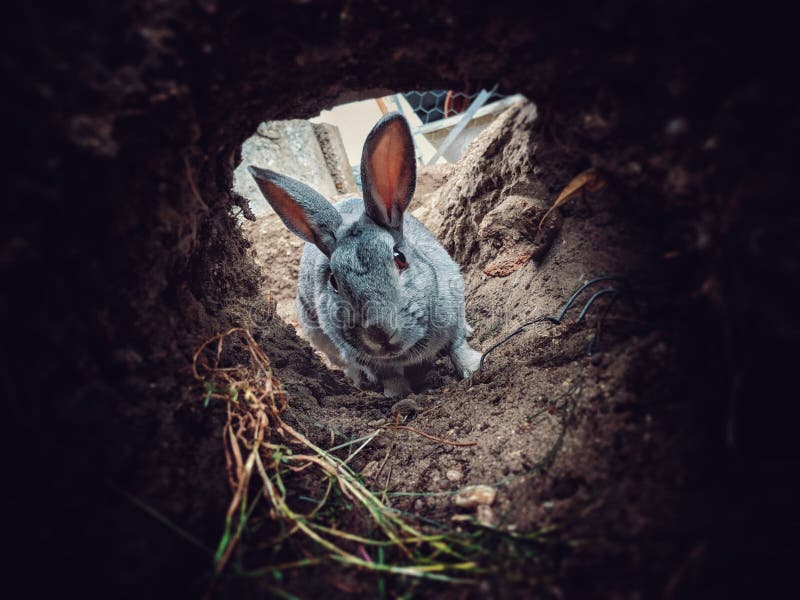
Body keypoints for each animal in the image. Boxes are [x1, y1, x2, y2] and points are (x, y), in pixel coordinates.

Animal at [248, 112, 482, 398]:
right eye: (334, 282)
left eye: (400, 258)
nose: (380, 332)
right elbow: (389, 375)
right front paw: (399, 395)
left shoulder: (453, 310)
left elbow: (457, 346)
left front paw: (473, 367)